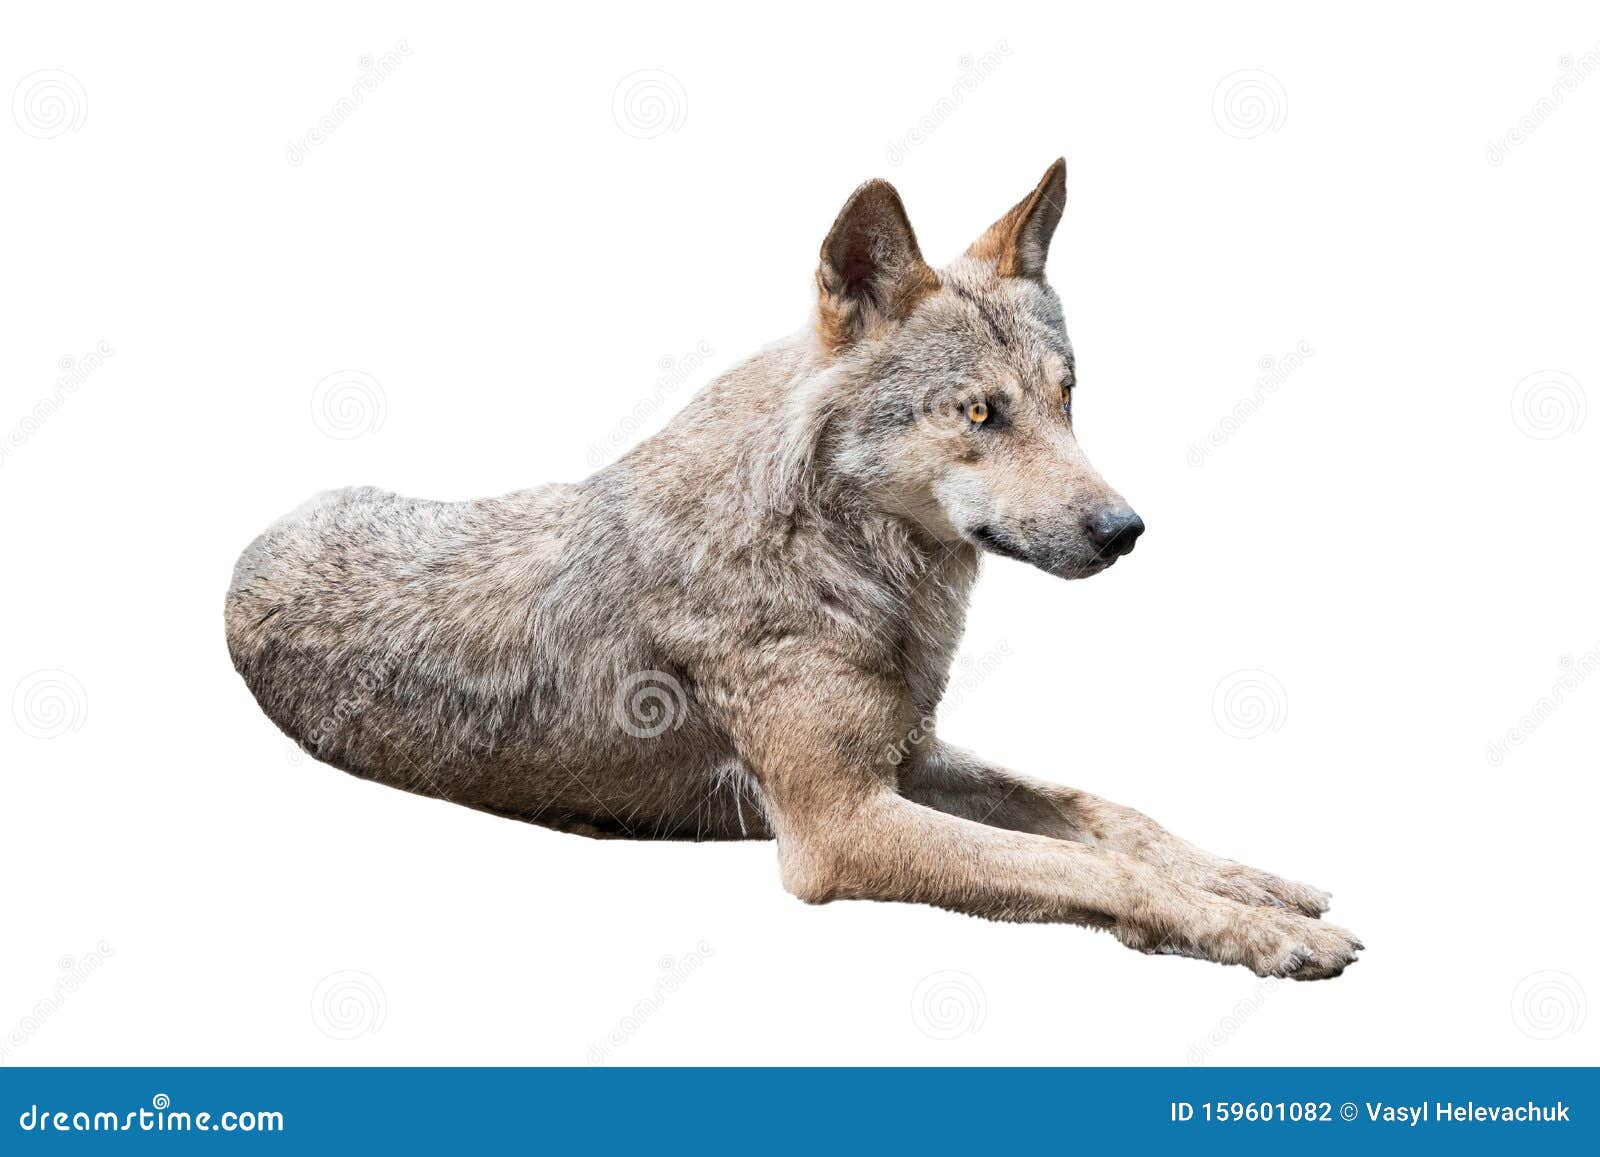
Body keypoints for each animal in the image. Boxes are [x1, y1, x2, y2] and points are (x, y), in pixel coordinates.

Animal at [227, 160, 1362, 979]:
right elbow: (1085, 860)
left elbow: (1110, 815)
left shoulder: (908, 758)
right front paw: (1259, 934)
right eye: (979, 412)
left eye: (1067, 396)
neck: (840, 562)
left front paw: (1255, 884)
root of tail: (256, 535)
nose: (1125, 528)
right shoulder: (839, 825)